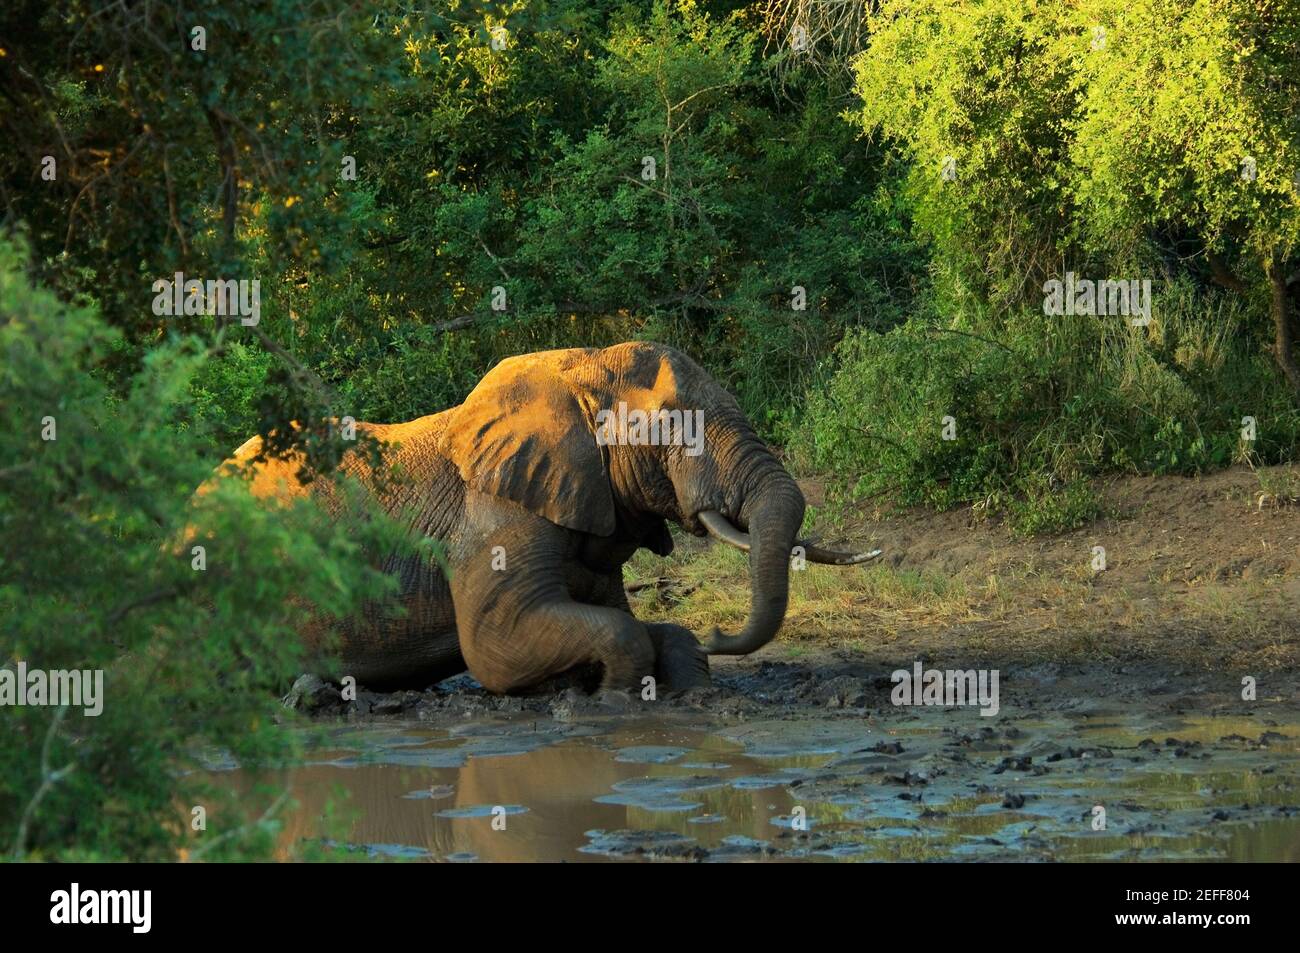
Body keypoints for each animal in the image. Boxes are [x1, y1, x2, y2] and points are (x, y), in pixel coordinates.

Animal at [208, 342, 878, 695]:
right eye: (671, 425)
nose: (720, 630)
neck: (578, 367)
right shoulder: (492, 518)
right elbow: (498, 644)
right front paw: (609, 698)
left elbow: (635, 624)